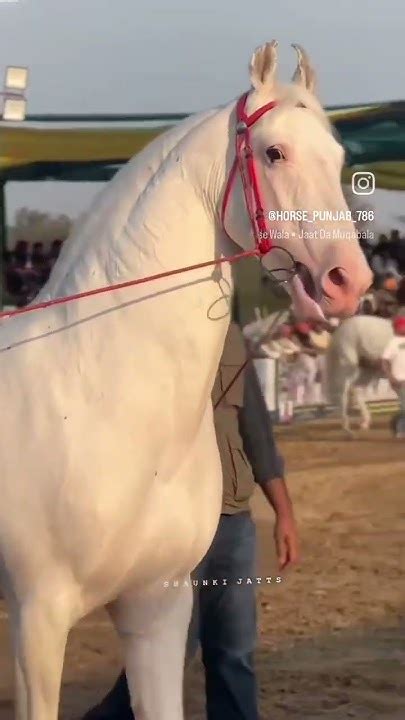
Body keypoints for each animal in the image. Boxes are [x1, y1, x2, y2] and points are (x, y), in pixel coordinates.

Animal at [0, 41, 372, 720]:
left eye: (337, 159)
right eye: (274, 152)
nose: (347, 280)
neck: (97, 395)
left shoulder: (159, 608)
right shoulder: (38, 618)